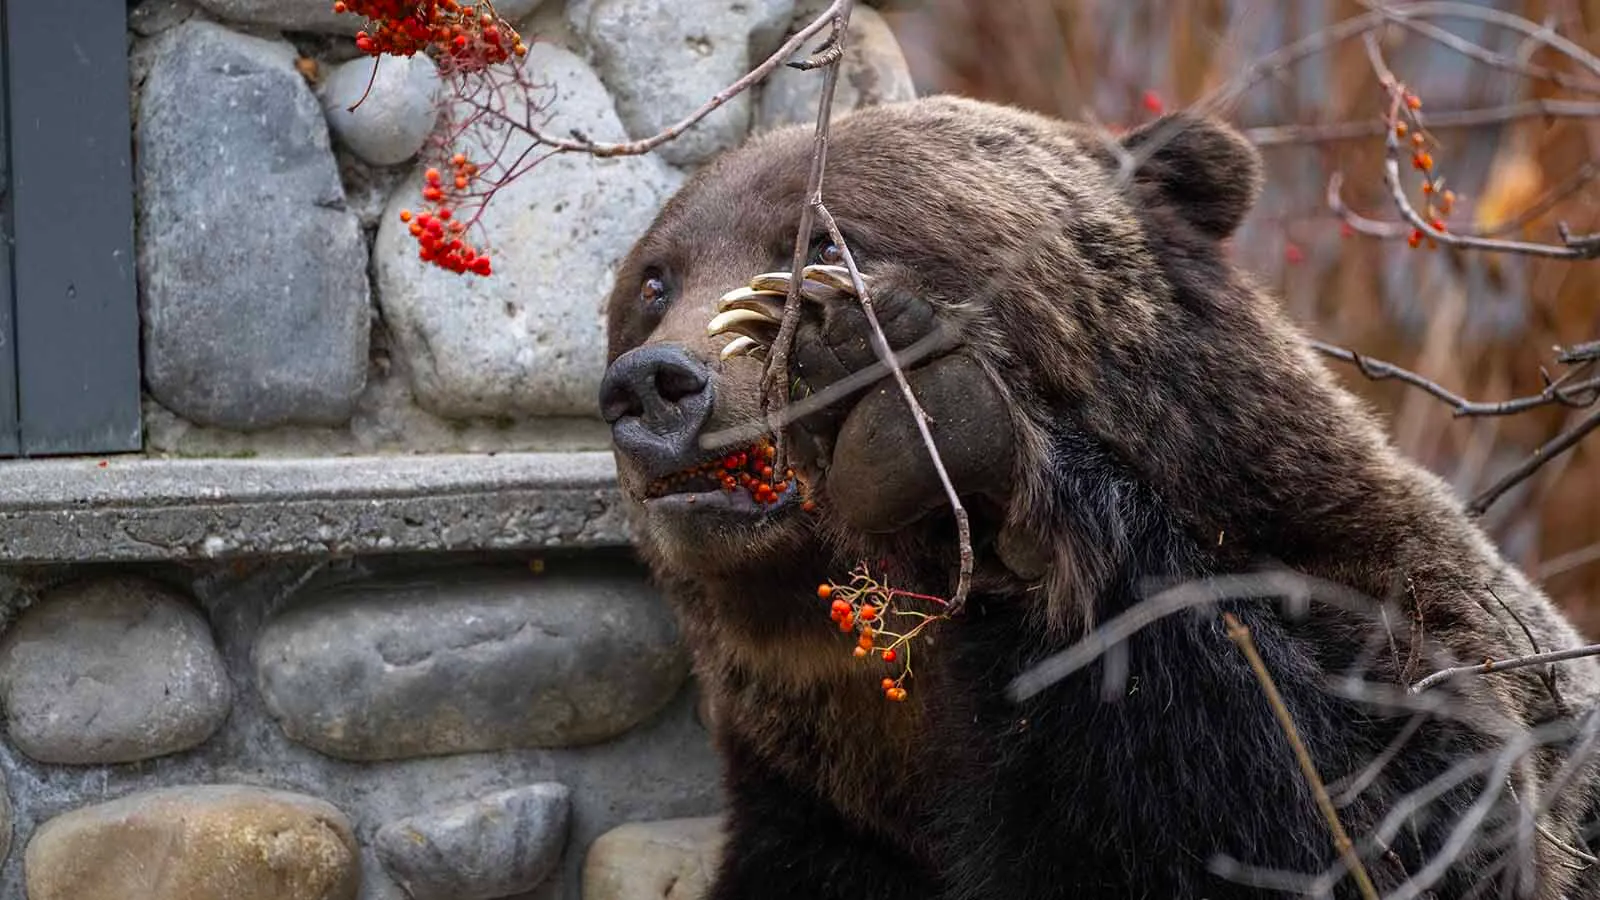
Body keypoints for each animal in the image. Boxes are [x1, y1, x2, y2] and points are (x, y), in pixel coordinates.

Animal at [599, 95, 1600, 899]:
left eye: (818, 239)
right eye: (654, 279)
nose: (656, 383)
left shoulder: (1410, 608)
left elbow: (1384, 798)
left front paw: (888, 382)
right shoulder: (820, 824)